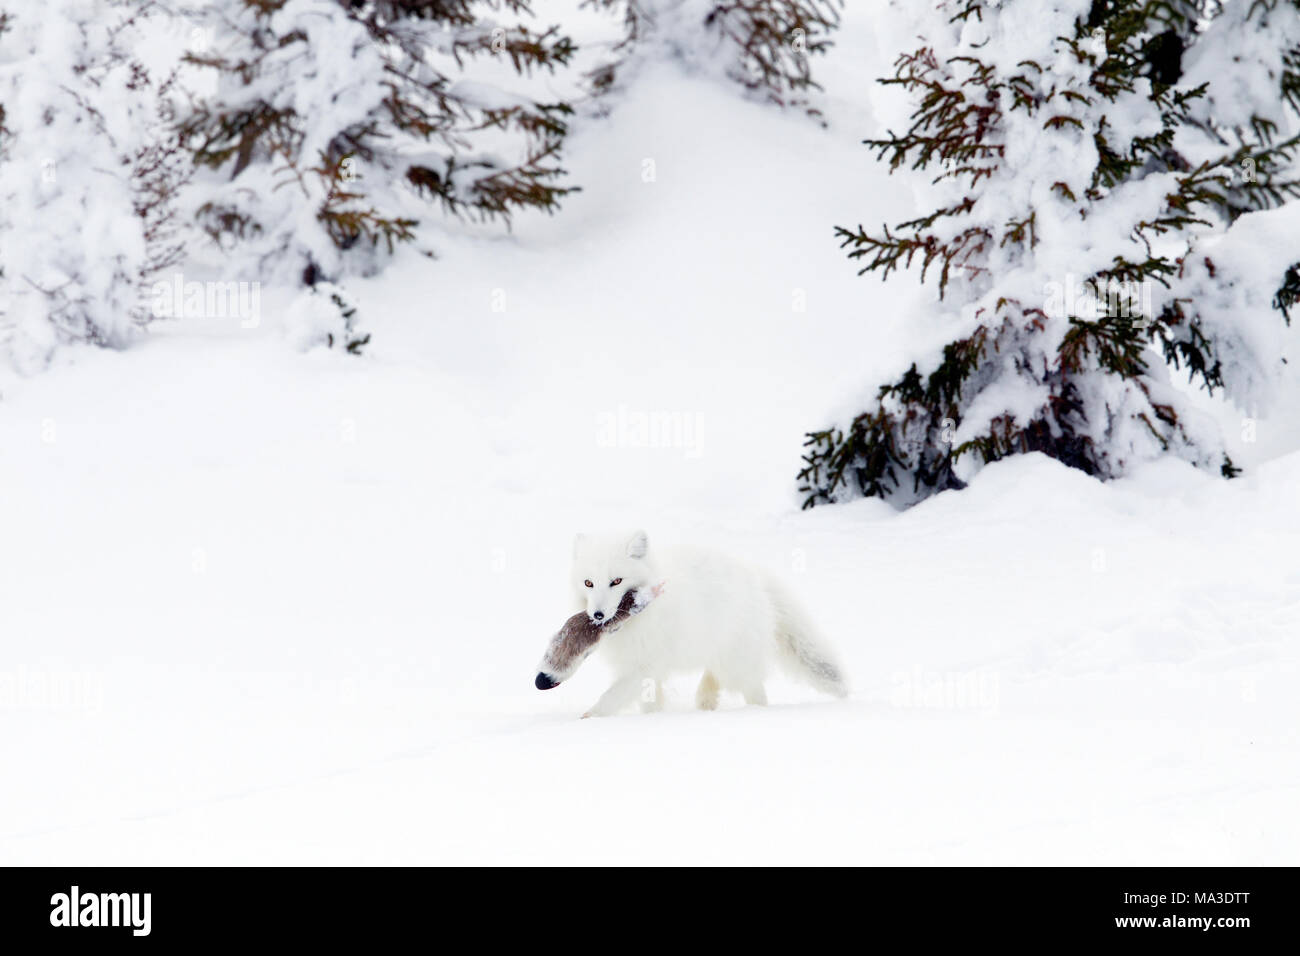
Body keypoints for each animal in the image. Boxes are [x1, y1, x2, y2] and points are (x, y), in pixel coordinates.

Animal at [534, 529, 849, 718]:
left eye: (617, 581)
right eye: (589, 583)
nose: (598, 616)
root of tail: (754, 574)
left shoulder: (645, 666)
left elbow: (612, 697)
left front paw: (588, 719)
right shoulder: (643, 669)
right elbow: (649, 704)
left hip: (736, 662)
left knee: (755, 691)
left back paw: (752, 713)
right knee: (714, 675)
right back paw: (705, 702)